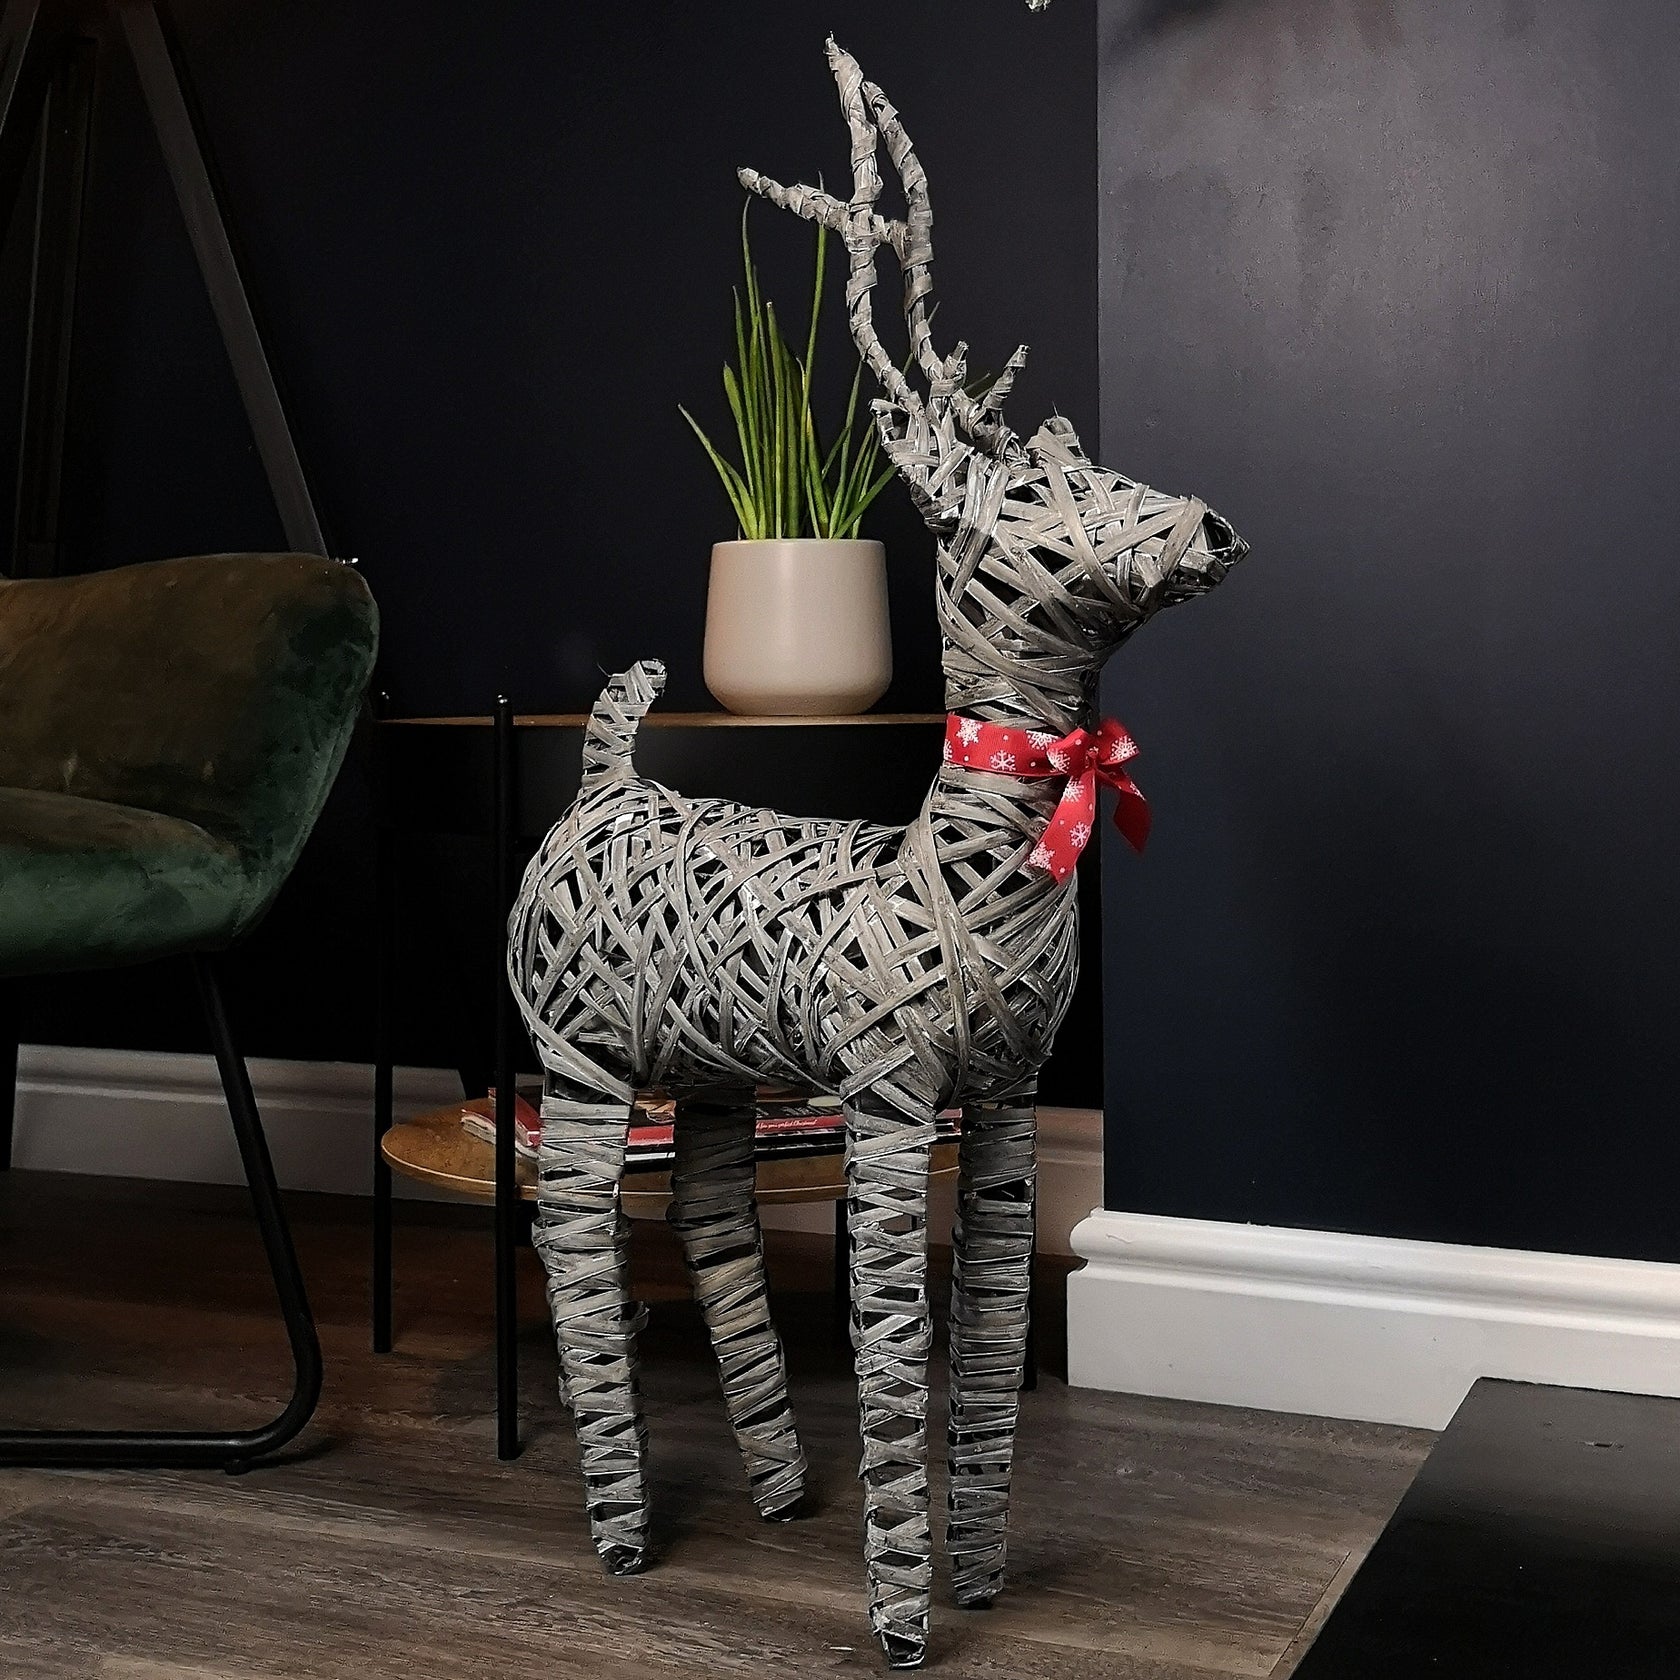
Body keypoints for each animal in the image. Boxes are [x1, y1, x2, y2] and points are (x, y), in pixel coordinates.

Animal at [508, 39, 1246, 1669]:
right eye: (1038, 498)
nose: (1214, 524)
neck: (946, 870)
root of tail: (602, 781)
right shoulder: (892, 1094)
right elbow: (899, 1355)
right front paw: (901, 1620)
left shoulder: (1011, 1104)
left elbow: (988, 1347)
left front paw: (973, 1579)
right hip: (579, 1056)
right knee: (578, 1247)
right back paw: (622, 1537)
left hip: (713, 1063)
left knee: (709, 1220)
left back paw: (780, 1490)